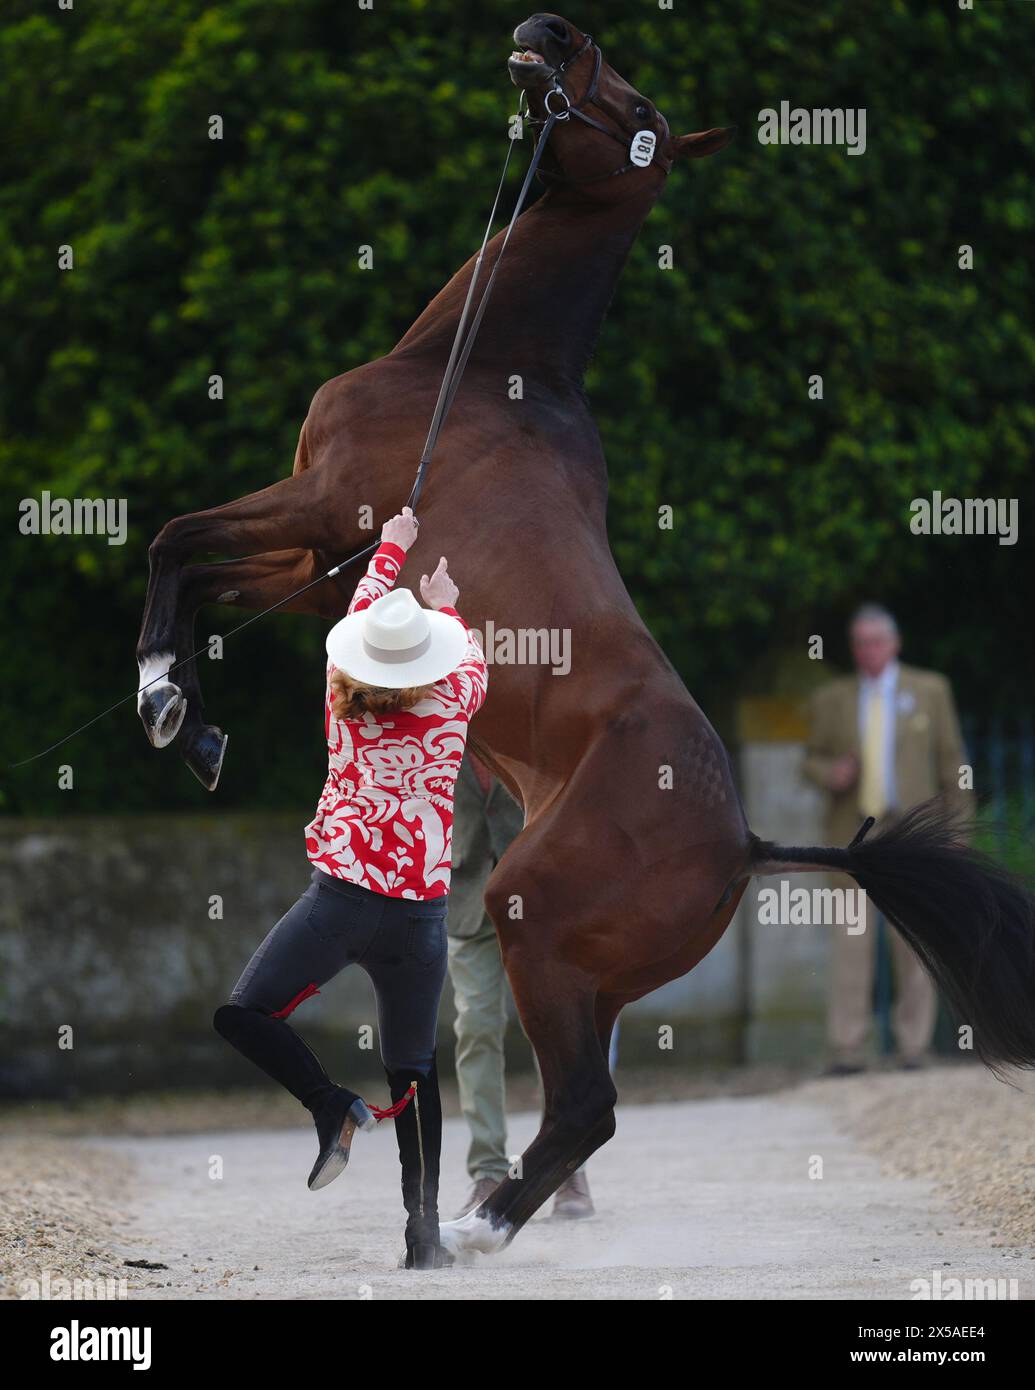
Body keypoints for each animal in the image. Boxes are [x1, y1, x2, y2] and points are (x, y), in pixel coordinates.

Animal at [135, 13, 1035, 1256]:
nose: (548, 33)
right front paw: (195, 722)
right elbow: (199, 569)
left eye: (637, 107)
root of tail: (746, 842)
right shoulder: (319, 568)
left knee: (589, 1106)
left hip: (536, 925)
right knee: (583, 1103)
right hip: (584, 975)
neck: (475, 374)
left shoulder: (320, 510)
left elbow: (172, 540)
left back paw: (479, 1227)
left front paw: (161, 696)